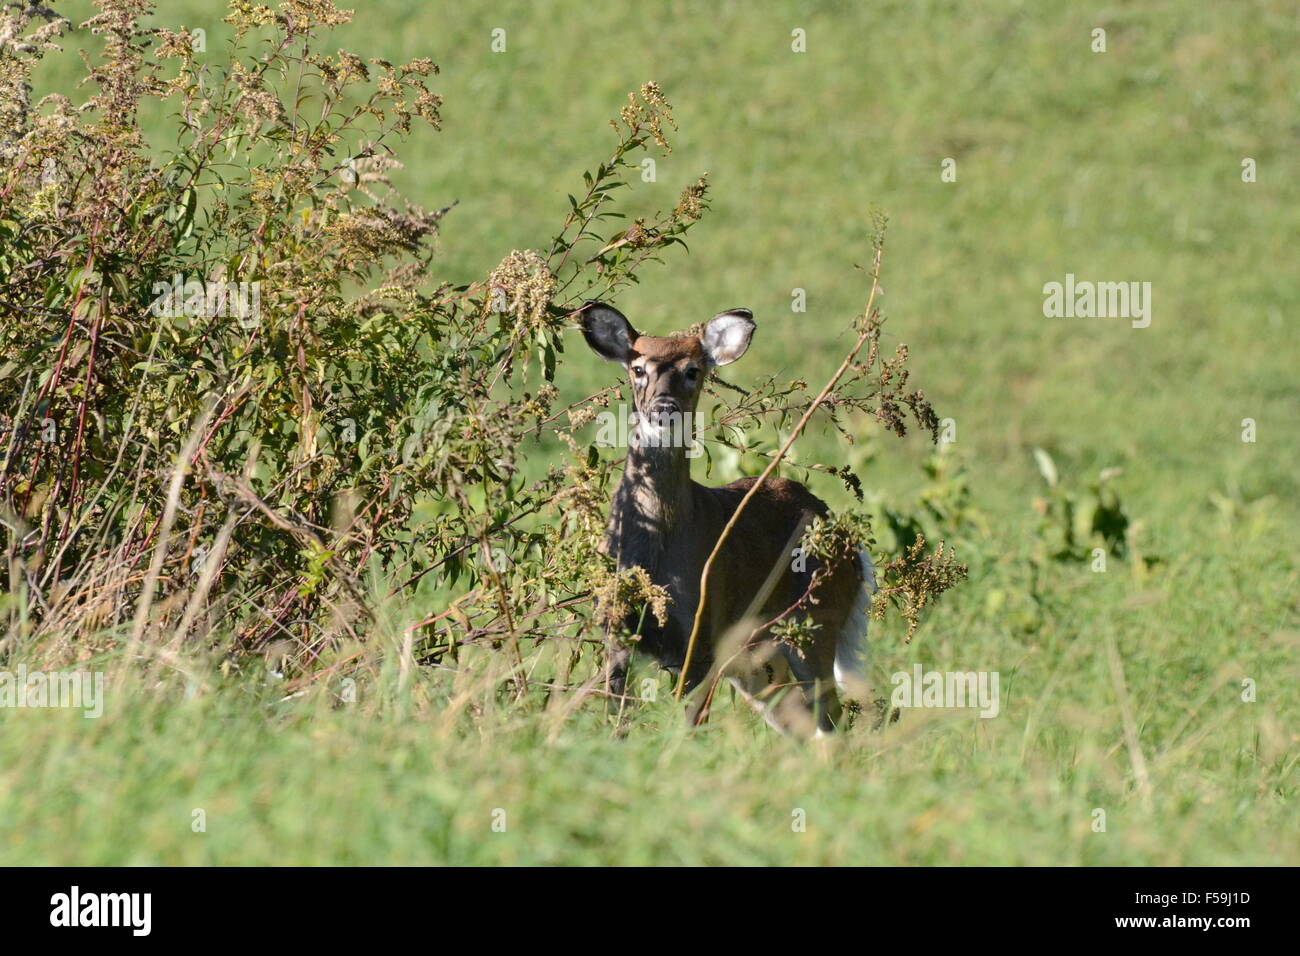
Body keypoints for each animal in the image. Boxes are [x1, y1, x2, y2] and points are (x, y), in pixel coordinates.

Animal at [580, 300, 875, 738]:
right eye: (637, 369)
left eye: (692, 370)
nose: (663, 408)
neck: (655, 550)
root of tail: (849, 542)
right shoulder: (617, 632)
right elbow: (617, 724)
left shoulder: (702, 631)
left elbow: (688, 725)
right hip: (756, 657)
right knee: (800, 721)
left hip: (815, 621)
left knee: (831, 720)